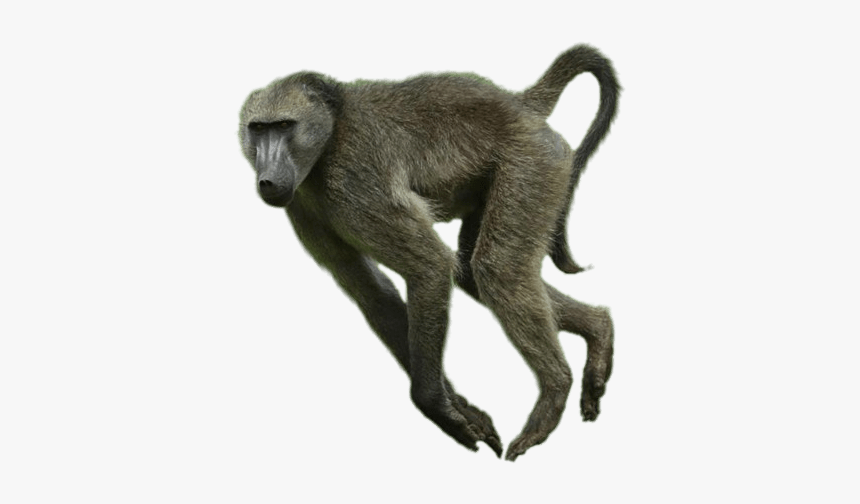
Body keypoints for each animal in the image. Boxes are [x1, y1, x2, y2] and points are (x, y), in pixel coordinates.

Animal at [238, 45, 619, 461]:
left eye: (284, 126)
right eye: (258, 129)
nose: (267, 180)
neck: (331, 133)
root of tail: (519, 103)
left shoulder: (354, 180)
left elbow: (430, 266)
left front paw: (438, 408)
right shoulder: (303, 203)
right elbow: (374, 294)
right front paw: (462, 408)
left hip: (534, 161)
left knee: (496, 269)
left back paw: (555, 390)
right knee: (473, 272)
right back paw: (598, 329)